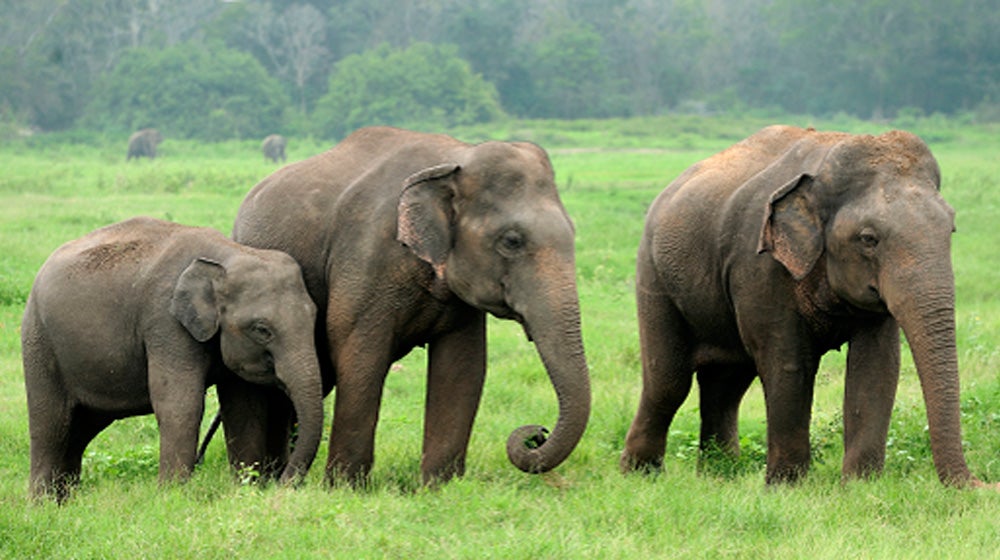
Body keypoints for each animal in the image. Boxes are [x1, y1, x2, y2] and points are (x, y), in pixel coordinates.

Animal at [22, 216, 324, 502]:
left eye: (314, 318)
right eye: (262, 330)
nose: (281, 484)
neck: (227, 255)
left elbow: (244, 406)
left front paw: (244, 489)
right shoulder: (164, 321)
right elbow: (180, 403)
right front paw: (172, 494)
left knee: (78, 431)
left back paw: (65, 503)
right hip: (38, 342)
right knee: (51, 425)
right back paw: (42, 506)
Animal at [230, 126, 591, 487]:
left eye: (574, 232)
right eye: (512, 241)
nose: (537, 434)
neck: (457, 157)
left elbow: (463, 366)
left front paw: (439, 486)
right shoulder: (365, 257)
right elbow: (361, 356)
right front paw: (345, 487)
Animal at [620, 125, 992, 488]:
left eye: (951, 230)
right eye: (868, 239)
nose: (988, 484)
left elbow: (877, 365)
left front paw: (860, 486)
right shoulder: (759, 265)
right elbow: (788, 362)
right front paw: (787, 486)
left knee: (727, 382)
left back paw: (719, 474)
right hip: (654, 276)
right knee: (669, 381)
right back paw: (641, 474)